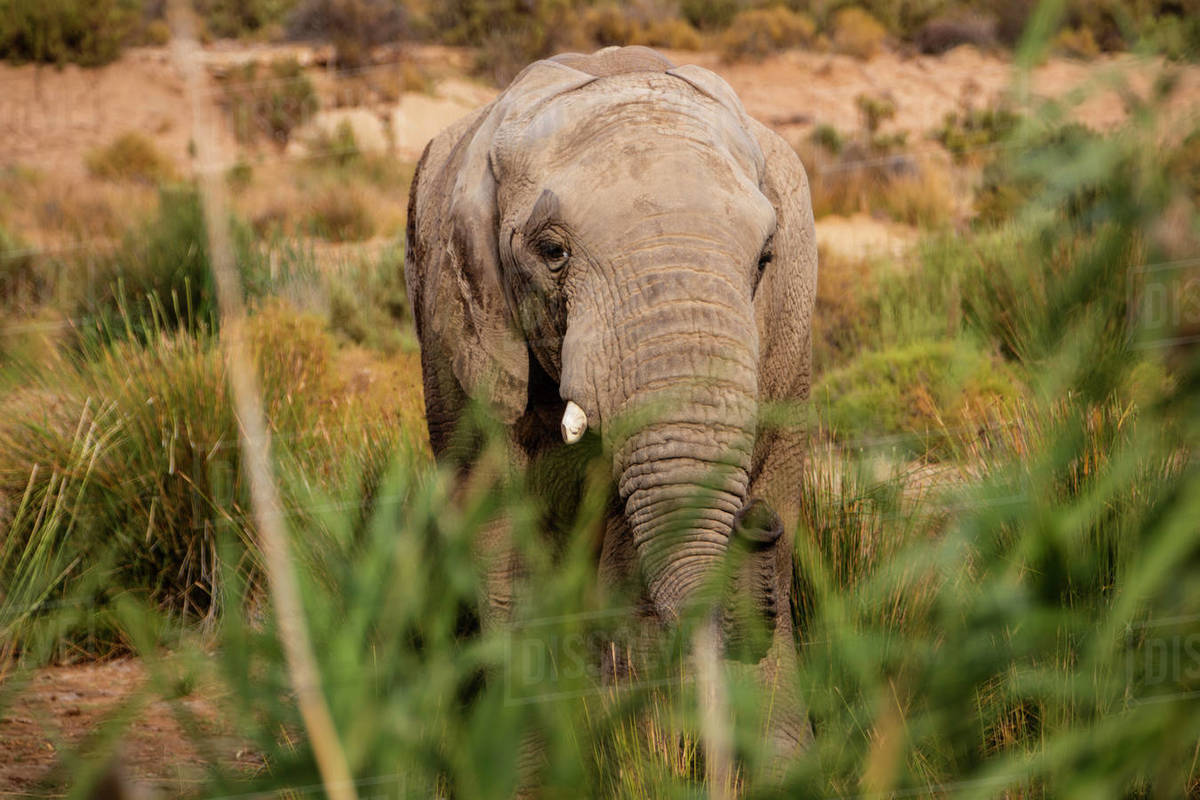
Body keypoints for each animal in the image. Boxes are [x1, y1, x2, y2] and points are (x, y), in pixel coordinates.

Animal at [404, 45, 817, 778]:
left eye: (765, 258)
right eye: (552, 252)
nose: (757, 525)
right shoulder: (462, 334)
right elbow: (500, 528)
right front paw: (532, 774)